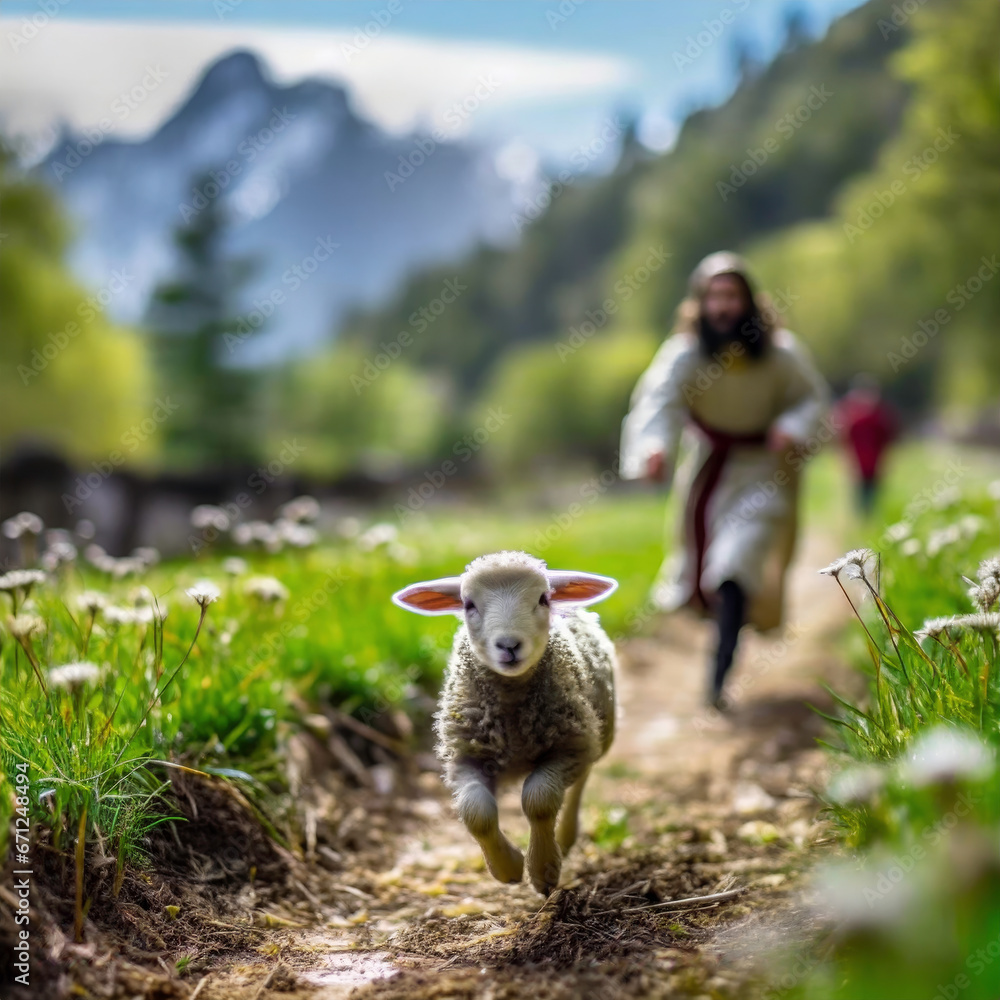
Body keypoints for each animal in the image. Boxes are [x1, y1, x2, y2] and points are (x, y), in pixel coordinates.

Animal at [392, 550, 618, 895]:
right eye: (468, 604)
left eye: (543, 598)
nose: (509, 645)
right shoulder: (465, 755)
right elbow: (476, 812)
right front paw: (507, 867)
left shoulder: (569, 746)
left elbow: (539, 799)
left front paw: (543, 869)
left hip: (594, 734)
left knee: (580, 782)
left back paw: (565, 837)